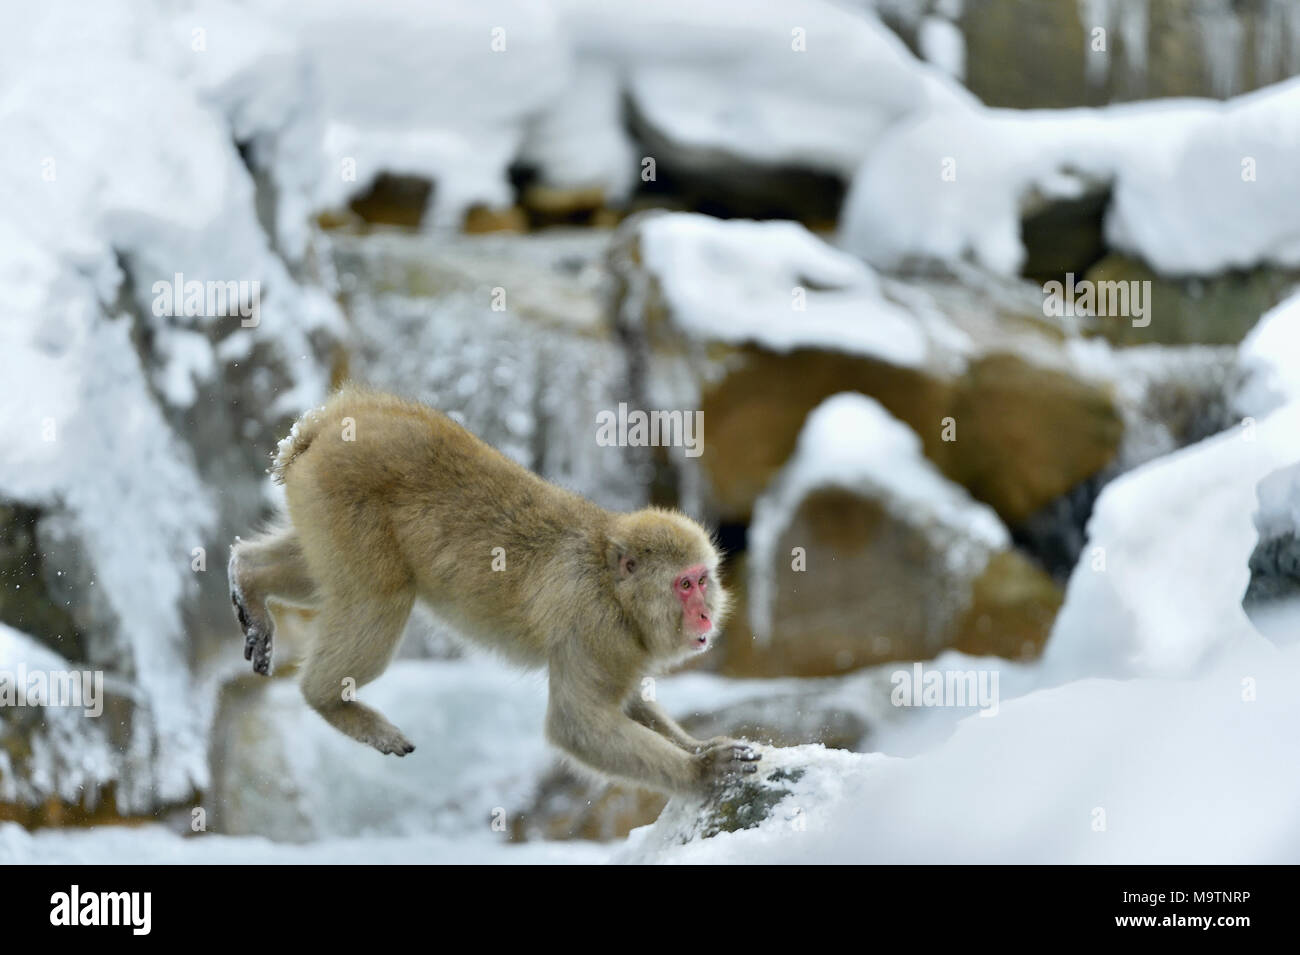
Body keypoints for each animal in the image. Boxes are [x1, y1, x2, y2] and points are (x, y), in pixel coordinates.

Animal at [228, 385, 760, 796]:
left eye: (703, 580)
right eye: (684, 585)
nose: (705, 616)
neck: (612, 586)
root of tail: (326, 422)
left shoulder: (620, 645)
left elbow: (625, 704)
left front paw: (702, 746)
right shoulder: (595, 628)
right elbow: (579, 726)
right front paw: (700, 771)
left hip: (319, 503)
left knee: (326, 574)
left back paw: (249, 577)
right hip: (343, 495)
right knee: (381, 596)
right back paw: (327, 700)